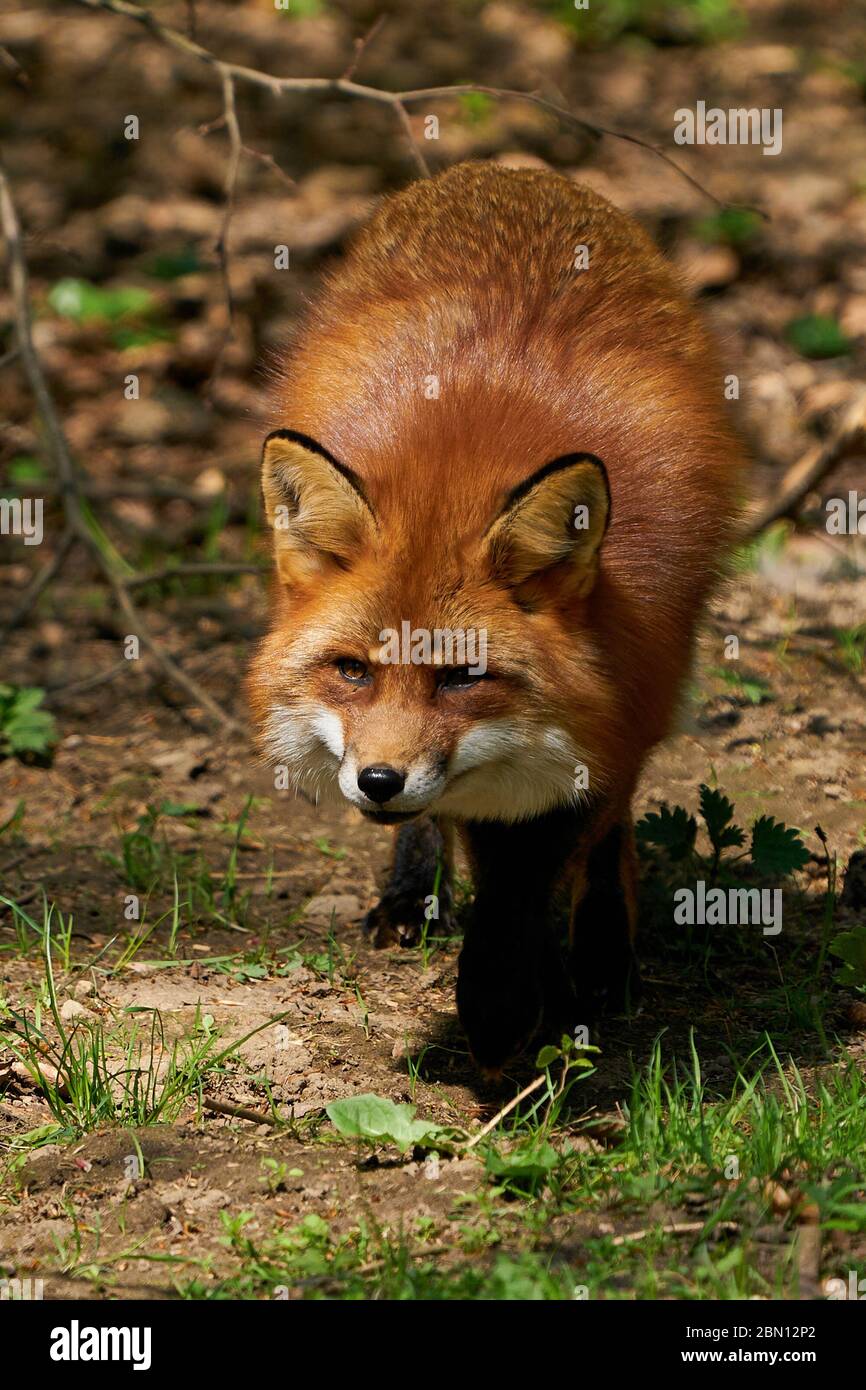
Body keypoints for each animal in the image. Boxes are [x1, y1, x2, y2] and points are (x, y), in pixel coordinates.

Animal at [248, 161, 746, 1073]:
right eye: (352, 671)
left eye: (464, 676)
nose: (378, 781)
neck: (462, 470)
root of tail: (513, 170)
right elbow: (486, 857)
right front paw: (514, 996)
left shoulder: (614, 712)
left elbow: (528, 882)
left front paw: (509, 1001)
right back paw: (414, 894)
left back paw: (601, 954)